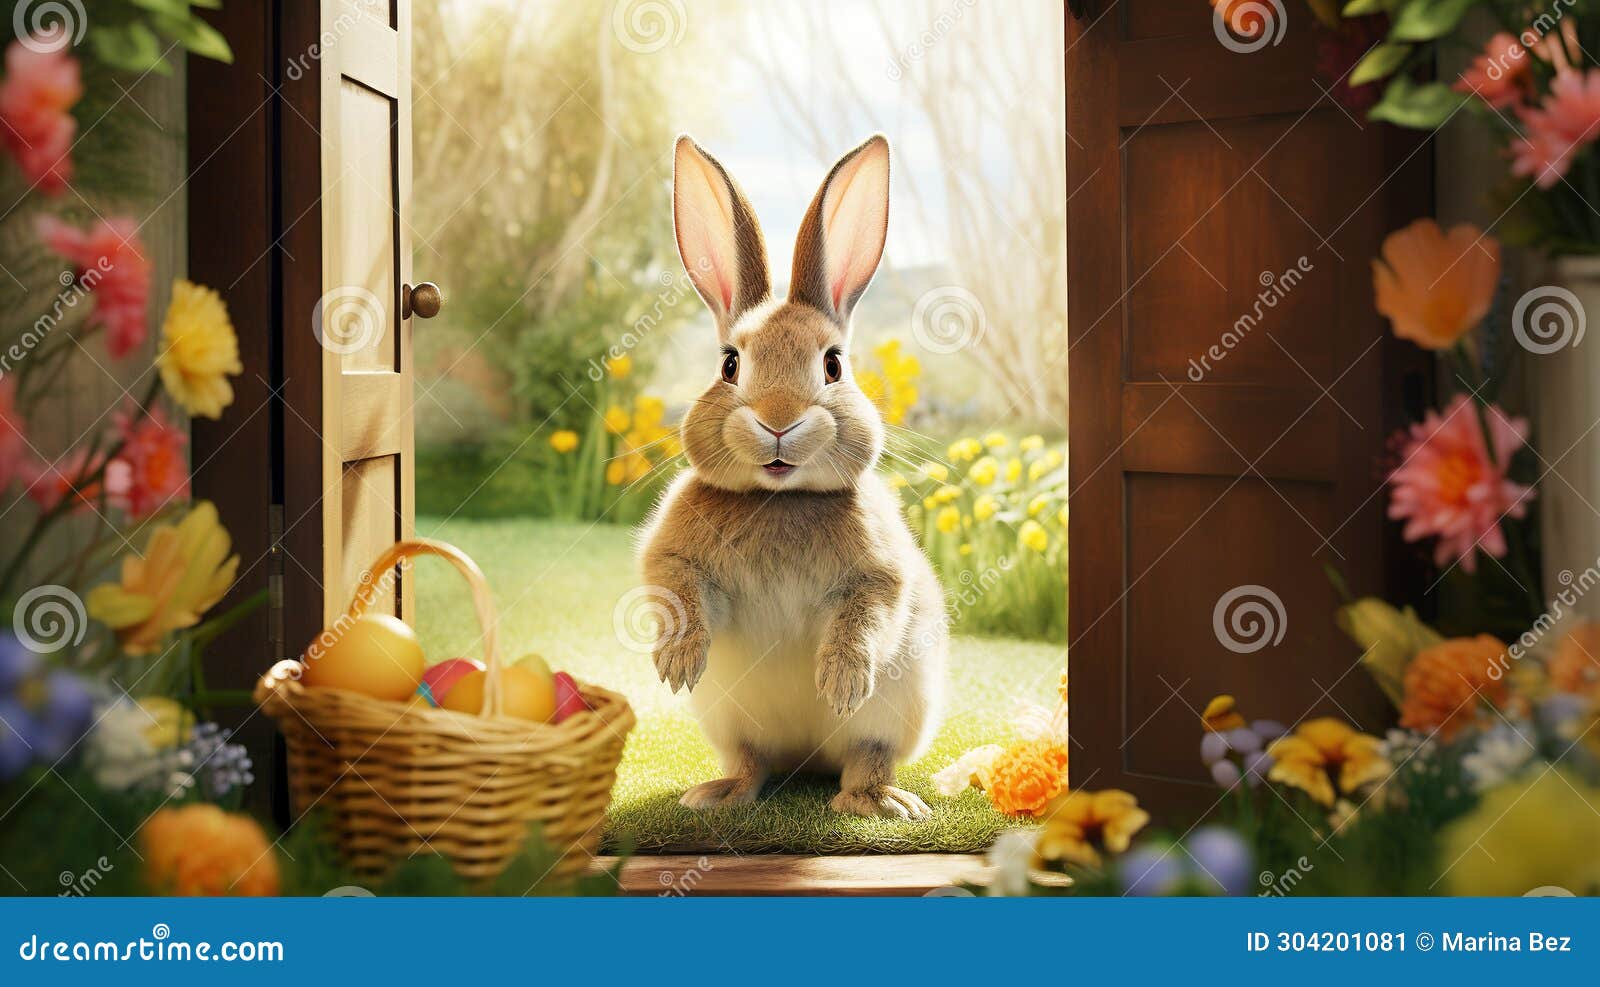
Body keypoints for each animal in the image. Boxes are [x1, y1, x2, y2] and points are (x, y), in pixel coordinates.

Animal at [636, 134, 947, 821]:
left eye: (833, 364)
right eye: (730, 364)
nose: (778, 420)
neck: (777, 499)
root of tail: (809, 763)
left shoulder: (878, 575)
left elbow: (866, 616)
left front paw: (840, 682)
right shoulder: (673, 559)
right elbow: (676, 590)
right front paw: (676, 662)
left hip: (888, 720)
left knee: (866, 758)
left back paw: (881, 803)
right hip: (732, 723)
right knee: (752, 763)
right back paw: (718, 796)